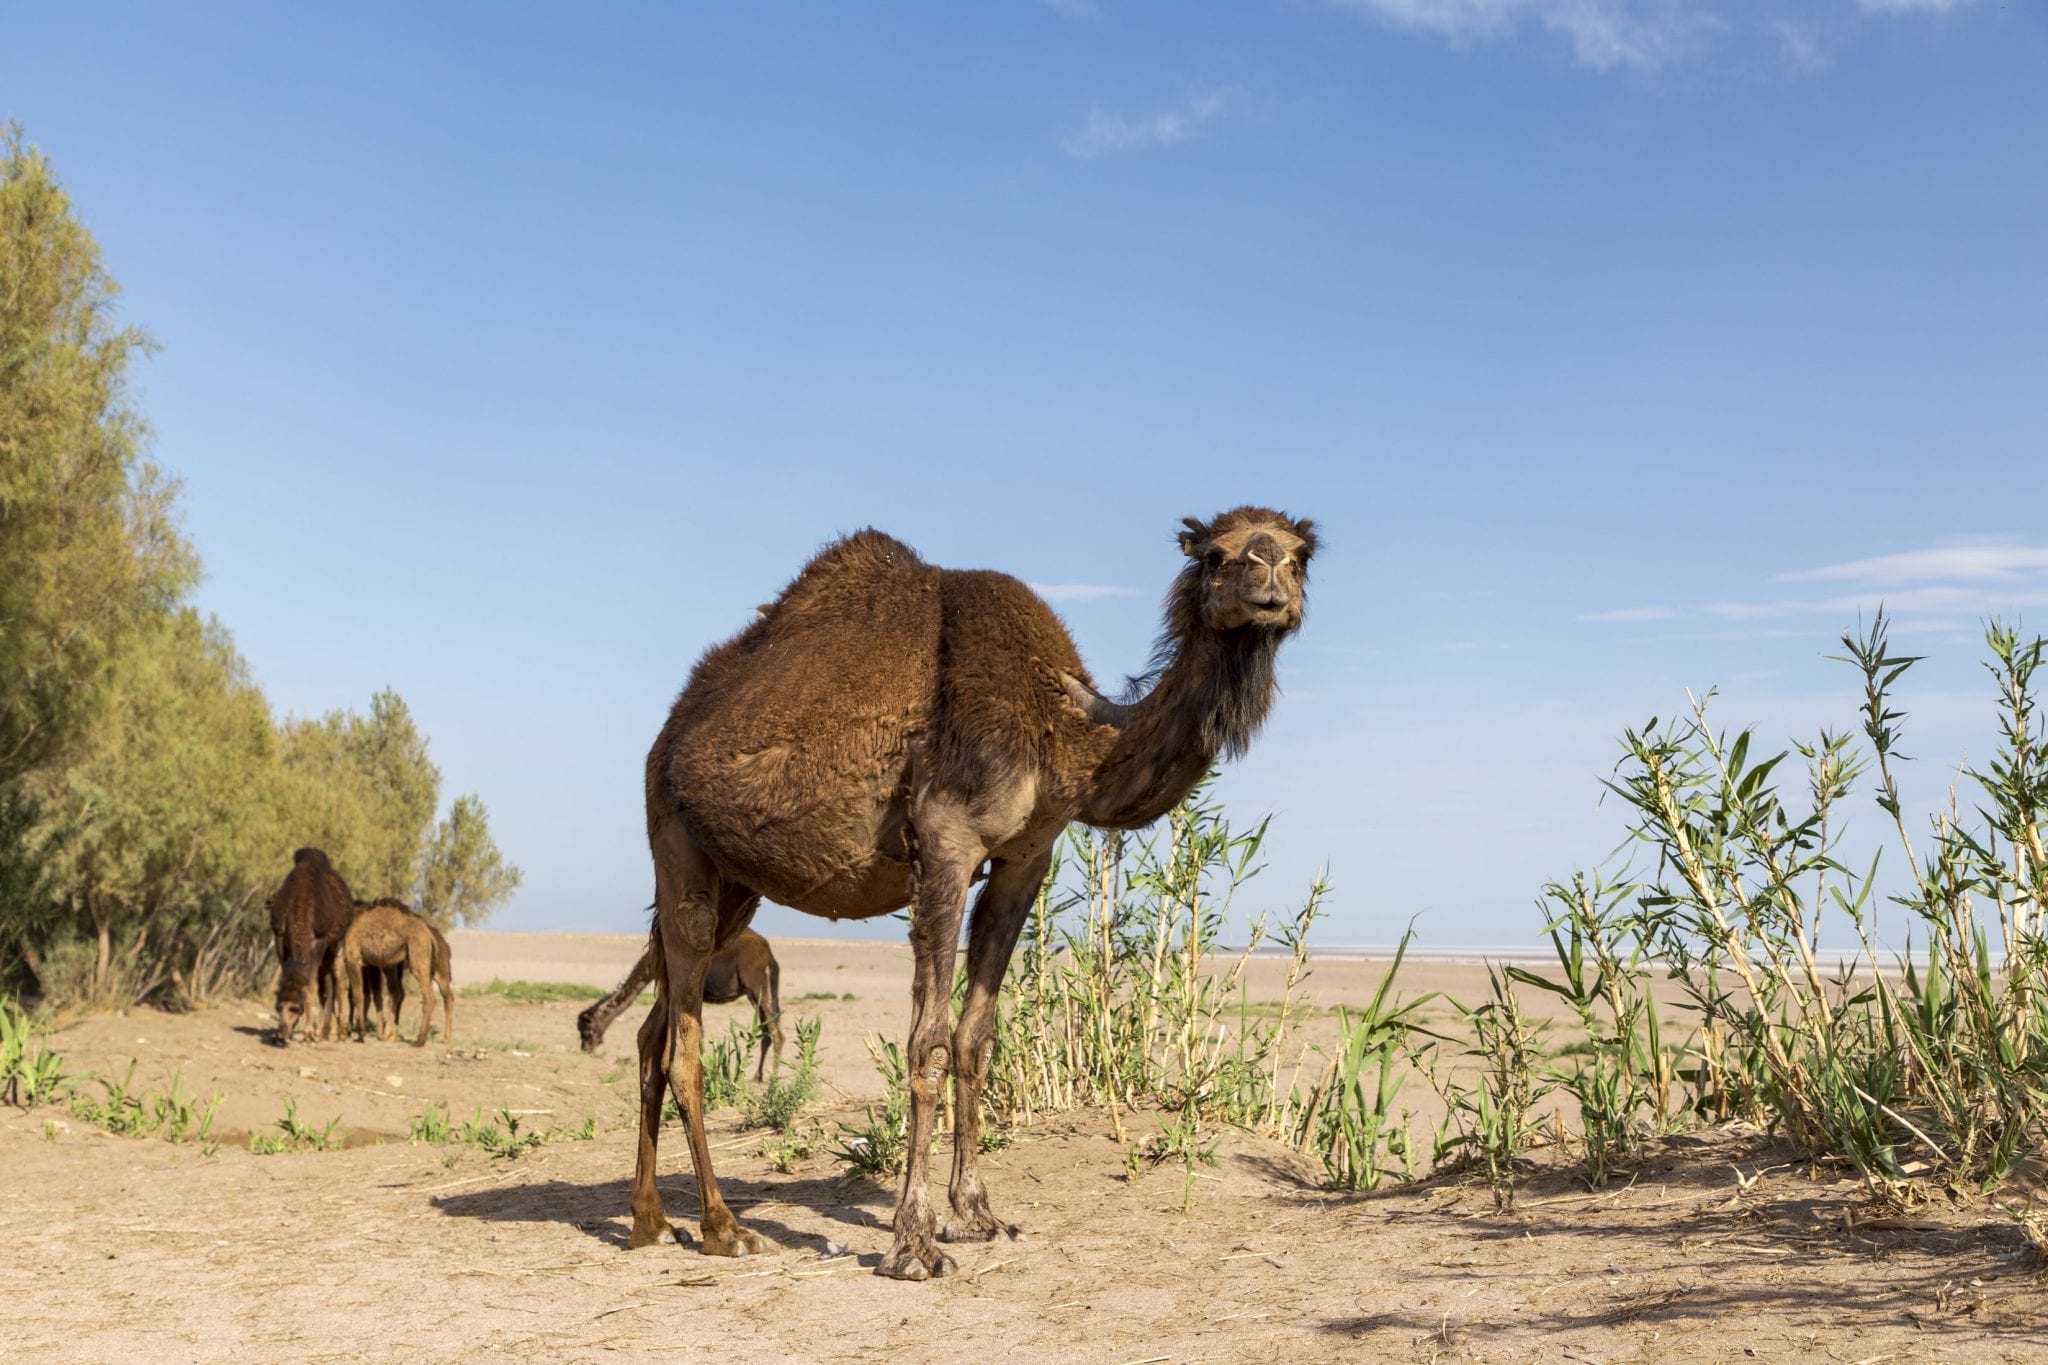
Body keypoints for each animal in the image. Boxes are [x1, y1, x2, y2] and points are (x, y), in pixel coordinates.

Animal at [268, 848, 355, 1045]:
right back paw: (323, 1032)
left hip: (338, 942)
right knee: (327, 986)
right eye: (278, 1007)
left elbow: (311, 985)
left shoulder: (319, 939)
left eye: (296, 1009)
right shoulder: (279, 935)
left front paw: (308, 1034)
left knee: (339, 982)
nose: (281, 1033)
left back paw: (340, 1033)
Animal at [348, 900, 456, 1044]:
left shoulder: (364, 962)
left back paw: (419, 1039)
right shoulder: (372, 965)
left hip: (422, 964)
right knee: (447, 997)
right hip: (437, 972)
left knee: (428, 996)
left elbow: (368, 995)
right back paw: (445, 1038)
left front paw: (366, 1034)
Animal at [578, 925, 784, 1080]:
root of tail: (769, 956)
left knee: (776, 1032)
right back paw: (758, 1077)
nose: (586, 1049)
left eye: (587, 1031)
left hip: (756, 985)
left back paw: (773, 1078)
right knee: (767, 1030)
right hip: (758, 992)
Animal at [629, 507, 1314, 1279]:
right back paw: (724, 1227)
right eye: (1217, 556)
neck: (1064, 731)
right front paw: (913, 1243)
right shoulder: (945, 843)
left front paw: (978, 1215)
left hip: (736, 882)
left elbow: (975, 1039)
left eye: (1302, 556)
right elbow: (925, 1043)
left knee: (654, 1030)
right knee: (683, 1040)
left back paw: (650, 1222)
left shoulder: (1025, 859)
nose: (1269, 580)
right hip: (674, 837)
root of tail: (671, 731)